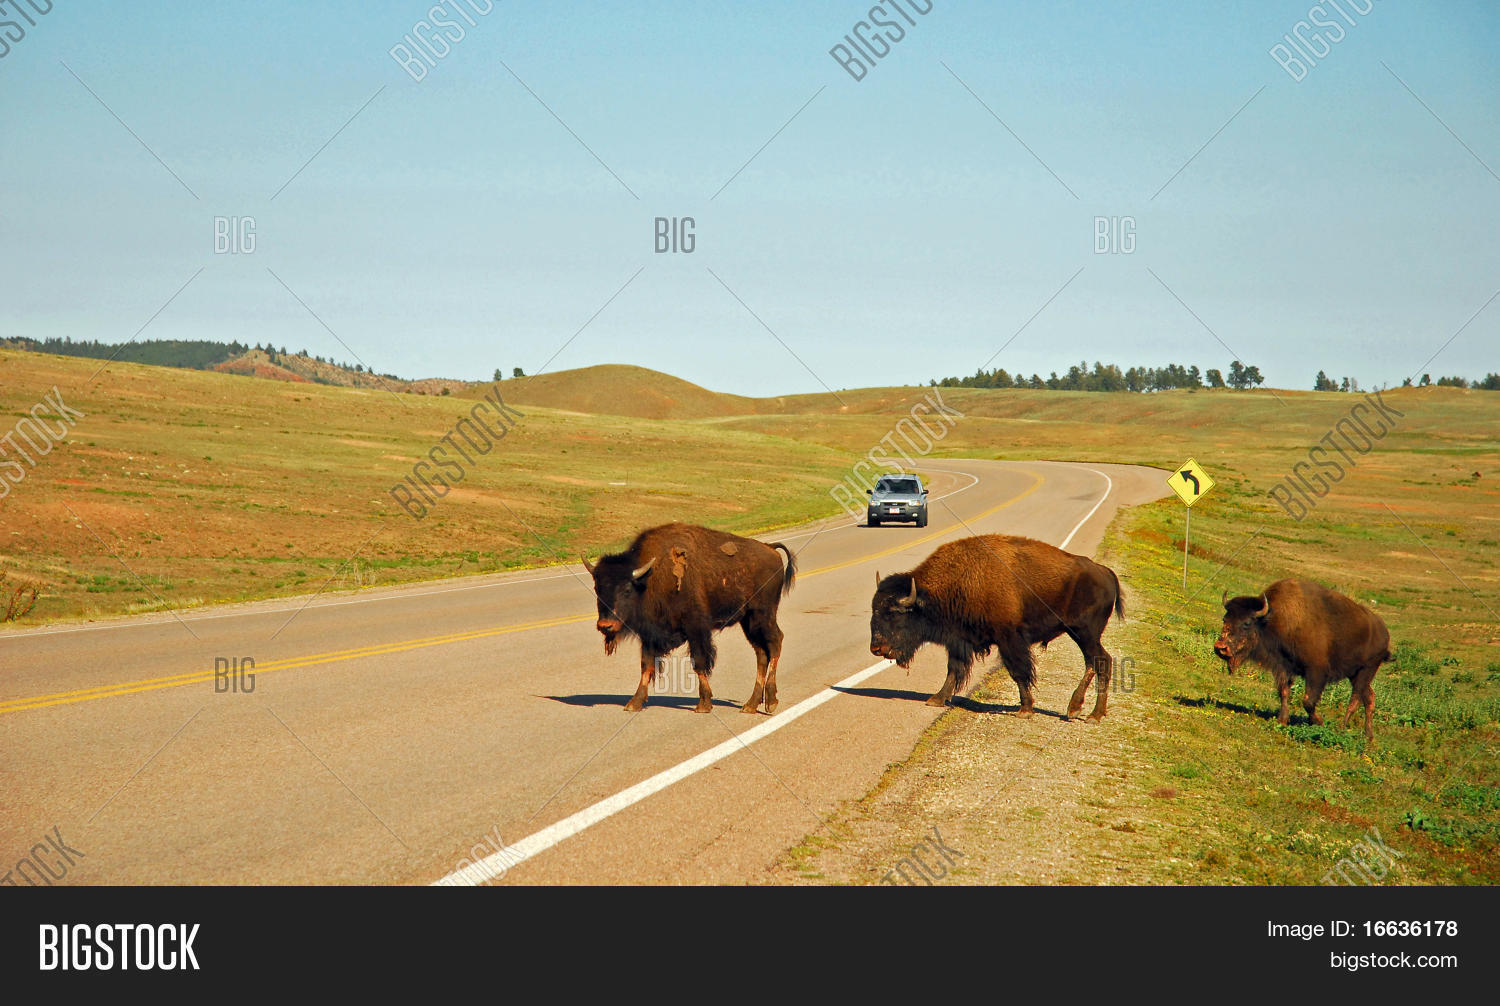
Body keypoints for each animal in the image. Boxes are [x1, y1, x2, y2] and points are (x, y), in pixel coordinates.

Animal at [583, 523, 796, 714]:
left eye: (627, 589)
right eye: (597, 589)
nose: (605, 625)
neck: (648, 579)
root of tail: (771, 549)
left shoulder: (695, 629)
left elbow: (699, 662)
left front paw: (704, 704)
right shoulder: (650, 636)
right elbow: (646, 665)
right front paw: (634, 703)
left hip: (764, 614)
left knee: (775, 643)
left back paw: (770, 702)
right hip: (748, 621)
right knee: (761, 653)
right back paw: (750, 705)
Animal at [869, 534, 1125, 721]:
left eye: (894, 614)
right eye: (874, 610)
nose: (876, 648)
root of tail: (1105, 572)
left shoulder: (1009, 640)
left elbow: (1019, 671)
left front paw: (1025, 710)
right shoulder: (959, 641)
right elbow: (953, 669)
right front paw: (937, 699)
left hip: (1085, 633)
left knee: (1101, 661)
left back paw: (1088, 713)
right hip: (1081, 634)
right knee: (1096, 662)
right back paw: (1082, 710)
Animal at [1214, 579, 1390, 740]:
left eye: (1246, 623)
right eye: (1225, 619)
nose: (1220, 647)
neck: (1271, 618)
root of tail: (1384, 633)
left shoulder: (1316, 672)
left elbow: (1308, 701)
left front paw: (1318, 722)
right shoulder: (1284, 666)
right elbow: (1284, 692)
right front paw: (1282, 720)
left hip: (1366, 670)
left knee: (1355, 699)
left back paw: (1342, 728)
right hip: (1355, 674)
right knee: (1369, 697)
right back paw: (1368, 736)